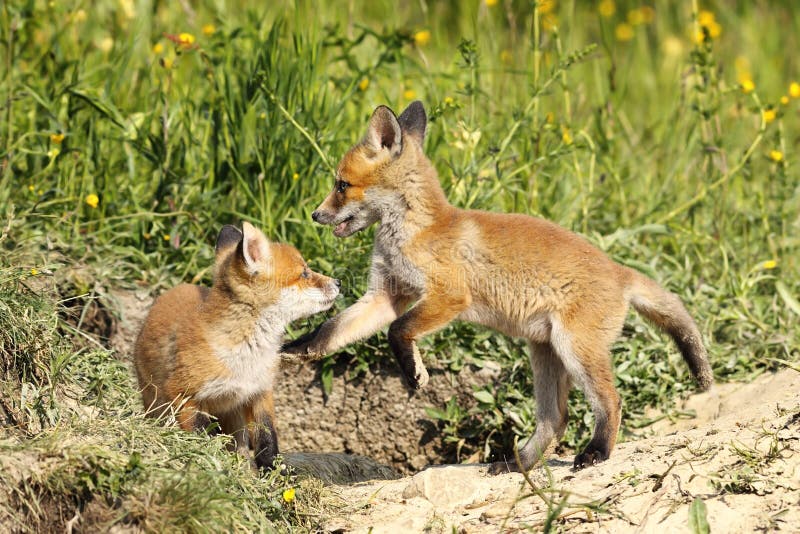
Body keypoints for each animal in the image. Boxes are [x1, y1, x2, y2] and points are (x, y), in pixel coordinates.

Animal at [134, 222, 340, 470]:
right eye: (305, 273)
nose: (338, 282)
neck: (247, 357)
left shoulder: (260, 392)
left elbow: (267, 440)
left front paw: (274, 472)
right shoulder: (185, 395)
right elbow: (201, 438)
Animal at [283, 101, 713, 473]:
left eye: (341, 185)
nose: (314, 214)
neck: (414, 231)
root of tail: (620, 270)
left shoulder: (447, 296)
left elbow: (397, 330)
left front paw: (413, 371)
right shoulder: (387, 294)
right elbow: (332, 329)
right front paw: (299, 348)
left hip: (576, 350)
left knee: (611, 400)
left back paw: (596, 452)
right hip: (545, 354)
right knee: (555, 418)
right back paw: (518, 464)